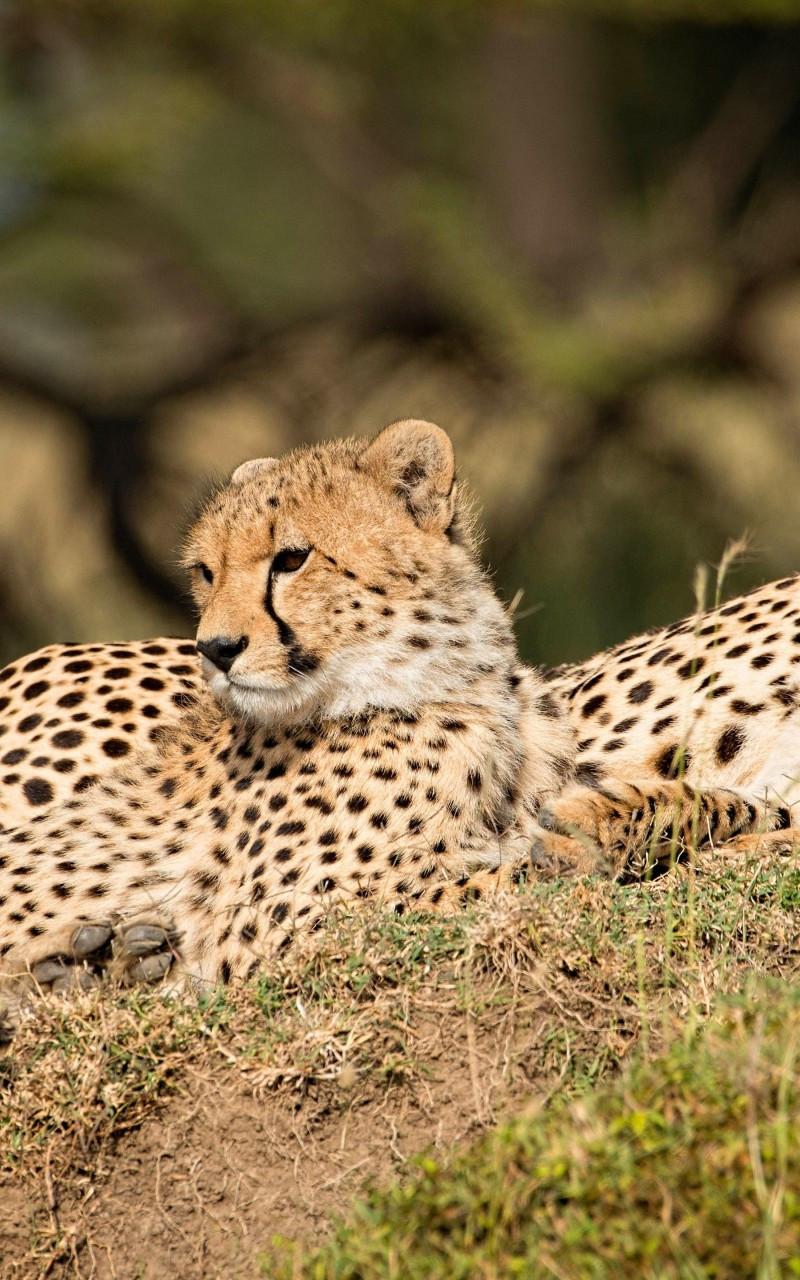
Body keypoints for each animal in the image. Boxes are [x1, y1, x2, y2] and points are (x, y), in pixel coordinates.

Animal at [0, 419, 795, 1008]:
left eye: (290, 559)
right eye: (206, 572)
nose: (216, 649)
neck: (444, 686)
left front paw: (620, 826)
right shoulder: (286, 926)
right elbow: (493, 888)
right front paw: (584, 848)